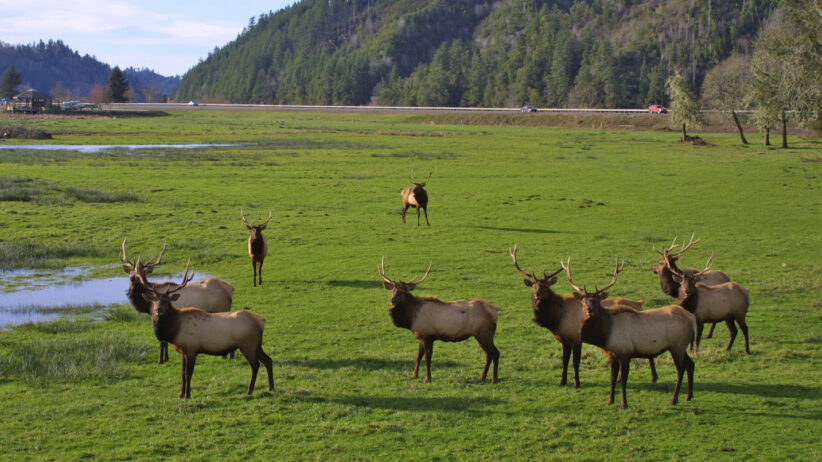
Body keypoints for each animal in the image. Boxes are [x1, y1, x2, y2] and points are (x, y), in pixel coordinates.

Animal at [140, 262, 274, 398]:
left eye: (167, 301)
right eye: (154, 301)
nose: (158, 311)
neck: (175, 330)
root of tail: (261, 321)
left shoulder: (192, 349)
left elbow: (189, 374)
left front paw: (188, 395)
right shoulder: (183, 351)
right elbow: (182, 373)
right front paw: (181, 394)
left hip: (248, 345)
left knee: (256, 365)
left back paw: (250, 390)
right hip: (256, 344)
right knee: (268, 360)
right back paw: (271, 387)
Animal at [509, 245, 654, 388]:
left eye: (545, 286)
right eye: (533, 286)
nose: (537, 294)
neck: (557, 319)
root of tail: (640, 304)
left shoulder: (576, 338)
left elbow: (575, 362)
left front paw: (577, 383)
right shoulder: (564, 339)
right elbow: (564, 361)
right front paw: (562, 381)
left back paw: (652, 378)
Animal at [565, 257, 696, 409]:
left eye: (597, 301)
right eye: (583, 301)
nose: (589, 310)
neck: (605, 335)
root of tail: (691, 320)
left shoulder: (624, 352)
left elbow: (623, 379)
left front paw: (624, 404)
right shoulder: (613, 355)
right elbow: (612, 378)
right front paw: (610, 401)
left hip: (677, 345)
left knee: (680, 369)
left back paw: (674, 399)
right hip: (682, 346)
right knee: (690, 364)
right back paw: (689, 396)